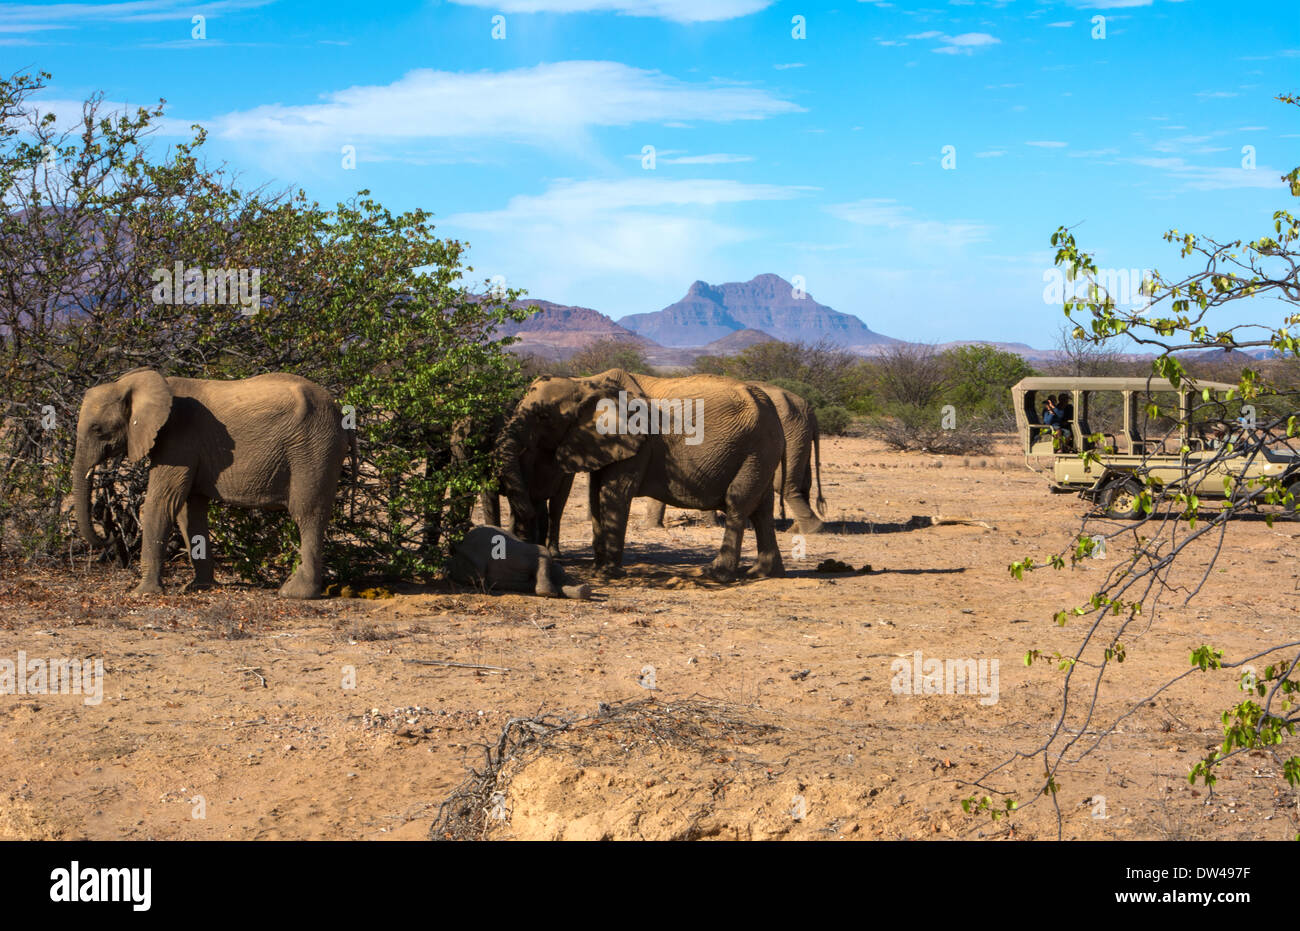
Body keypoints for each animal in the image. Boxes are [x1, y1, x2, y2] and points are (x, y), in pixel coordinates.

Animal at [73, 368, 350, 599]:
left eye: (97, 429)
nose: (107, 539)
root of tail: (340, 411)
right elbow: (189, 511)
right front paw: (199, 587)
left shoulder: (178, 440)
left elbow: (163, 502)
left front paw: (143, 593)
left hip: (313, 448)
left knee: (308, 514)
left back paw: (295, 594)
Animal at [496, 369, 786, 581]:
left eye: (543, 416)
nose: (528, 516)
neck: (585, 382)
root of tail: (769, 404)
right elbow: (595, 495)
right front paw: (597, 571)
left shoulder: (637, 441)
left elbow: (613, 495)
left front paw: (607, 575)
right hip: (760, 452)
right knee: (762, 509)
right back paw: (763, 573)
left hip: (756, 448)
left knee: (738, 502)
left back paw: (716, 574)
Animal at [644, 382, 827, 533]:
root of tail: (811, 413)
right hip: (800, 436)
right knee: (804, 484)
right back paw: (799, 528)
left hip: (788, 436)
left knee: (783, 484)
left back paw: (805, 530)